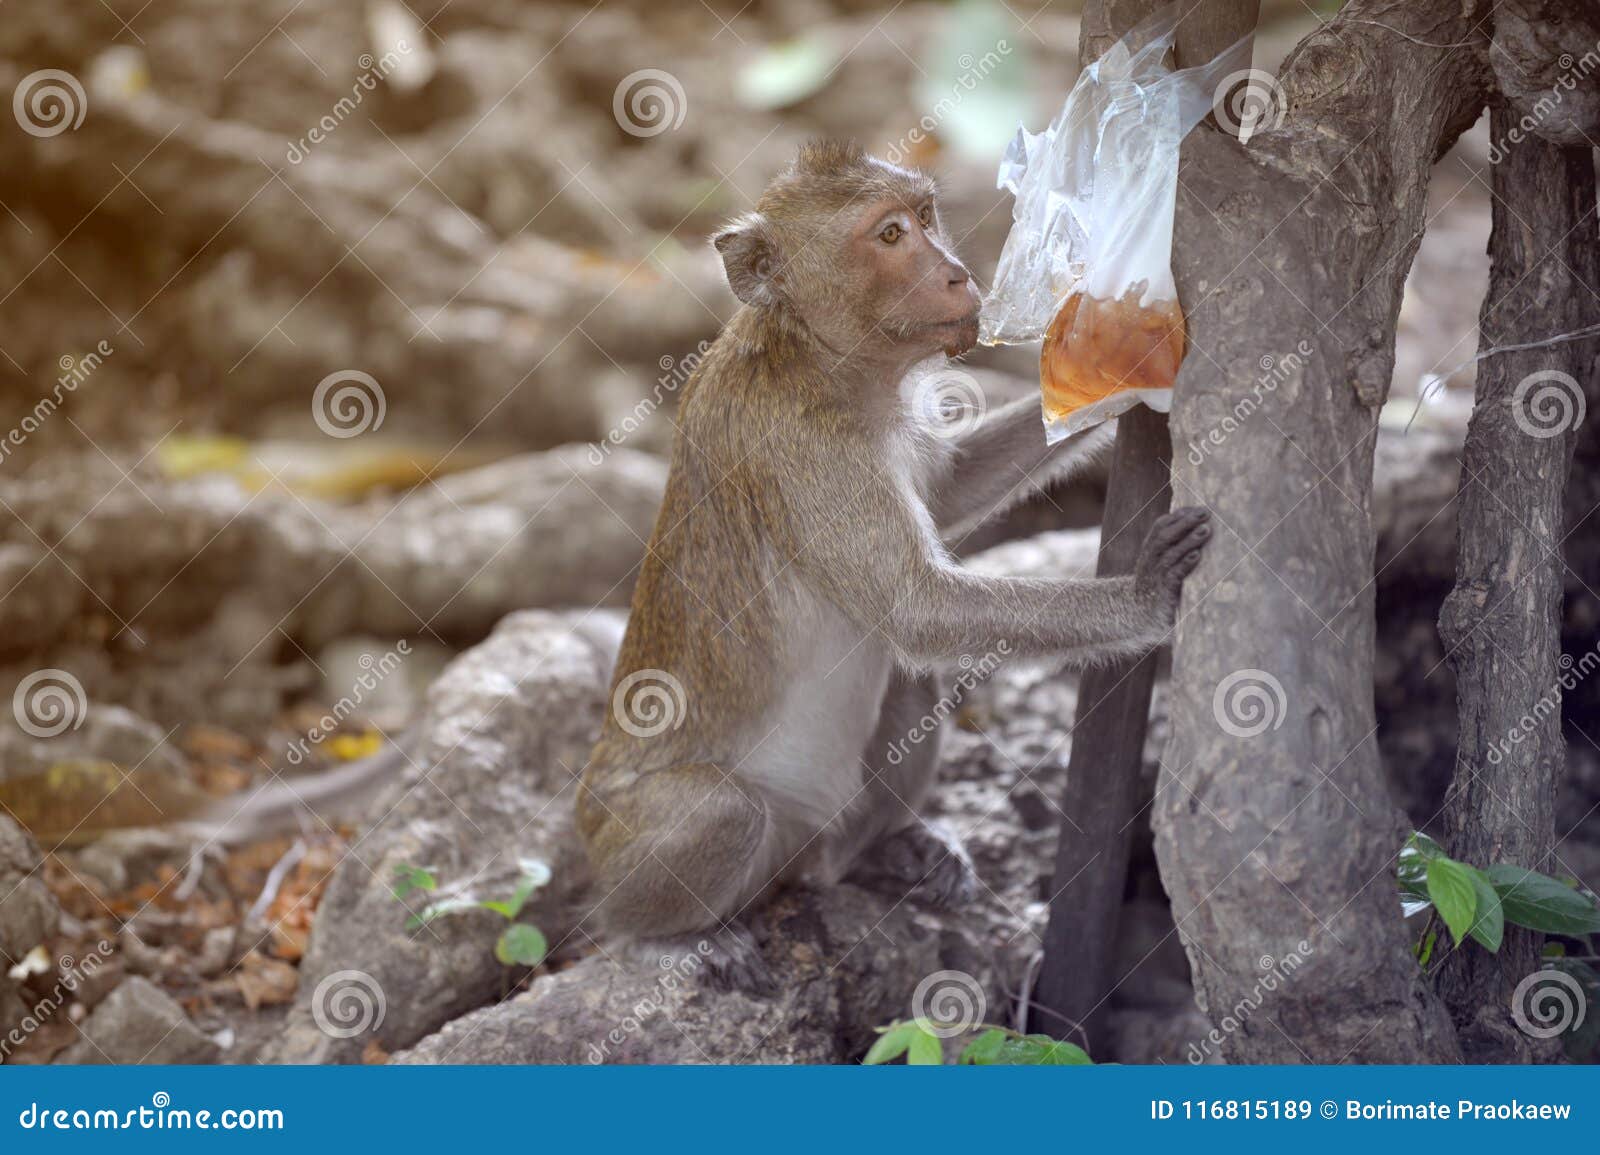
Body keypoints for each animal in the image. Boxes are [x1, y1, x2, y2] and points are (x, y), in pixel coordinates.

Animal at [576, 141, 1210, 992]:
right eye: (888, 235)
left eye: (926, 216)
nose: (957, 273)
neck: (818, 355)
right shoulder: (805, 447)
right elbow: (919, 608)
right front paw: (1146, 595)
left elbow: (950, 489)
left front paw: (1123, 366)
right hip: (625, 842)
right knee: (720, 814)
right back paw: (656, 937)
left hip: (811, 847)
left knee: (910, 690)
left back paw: (881, 853)